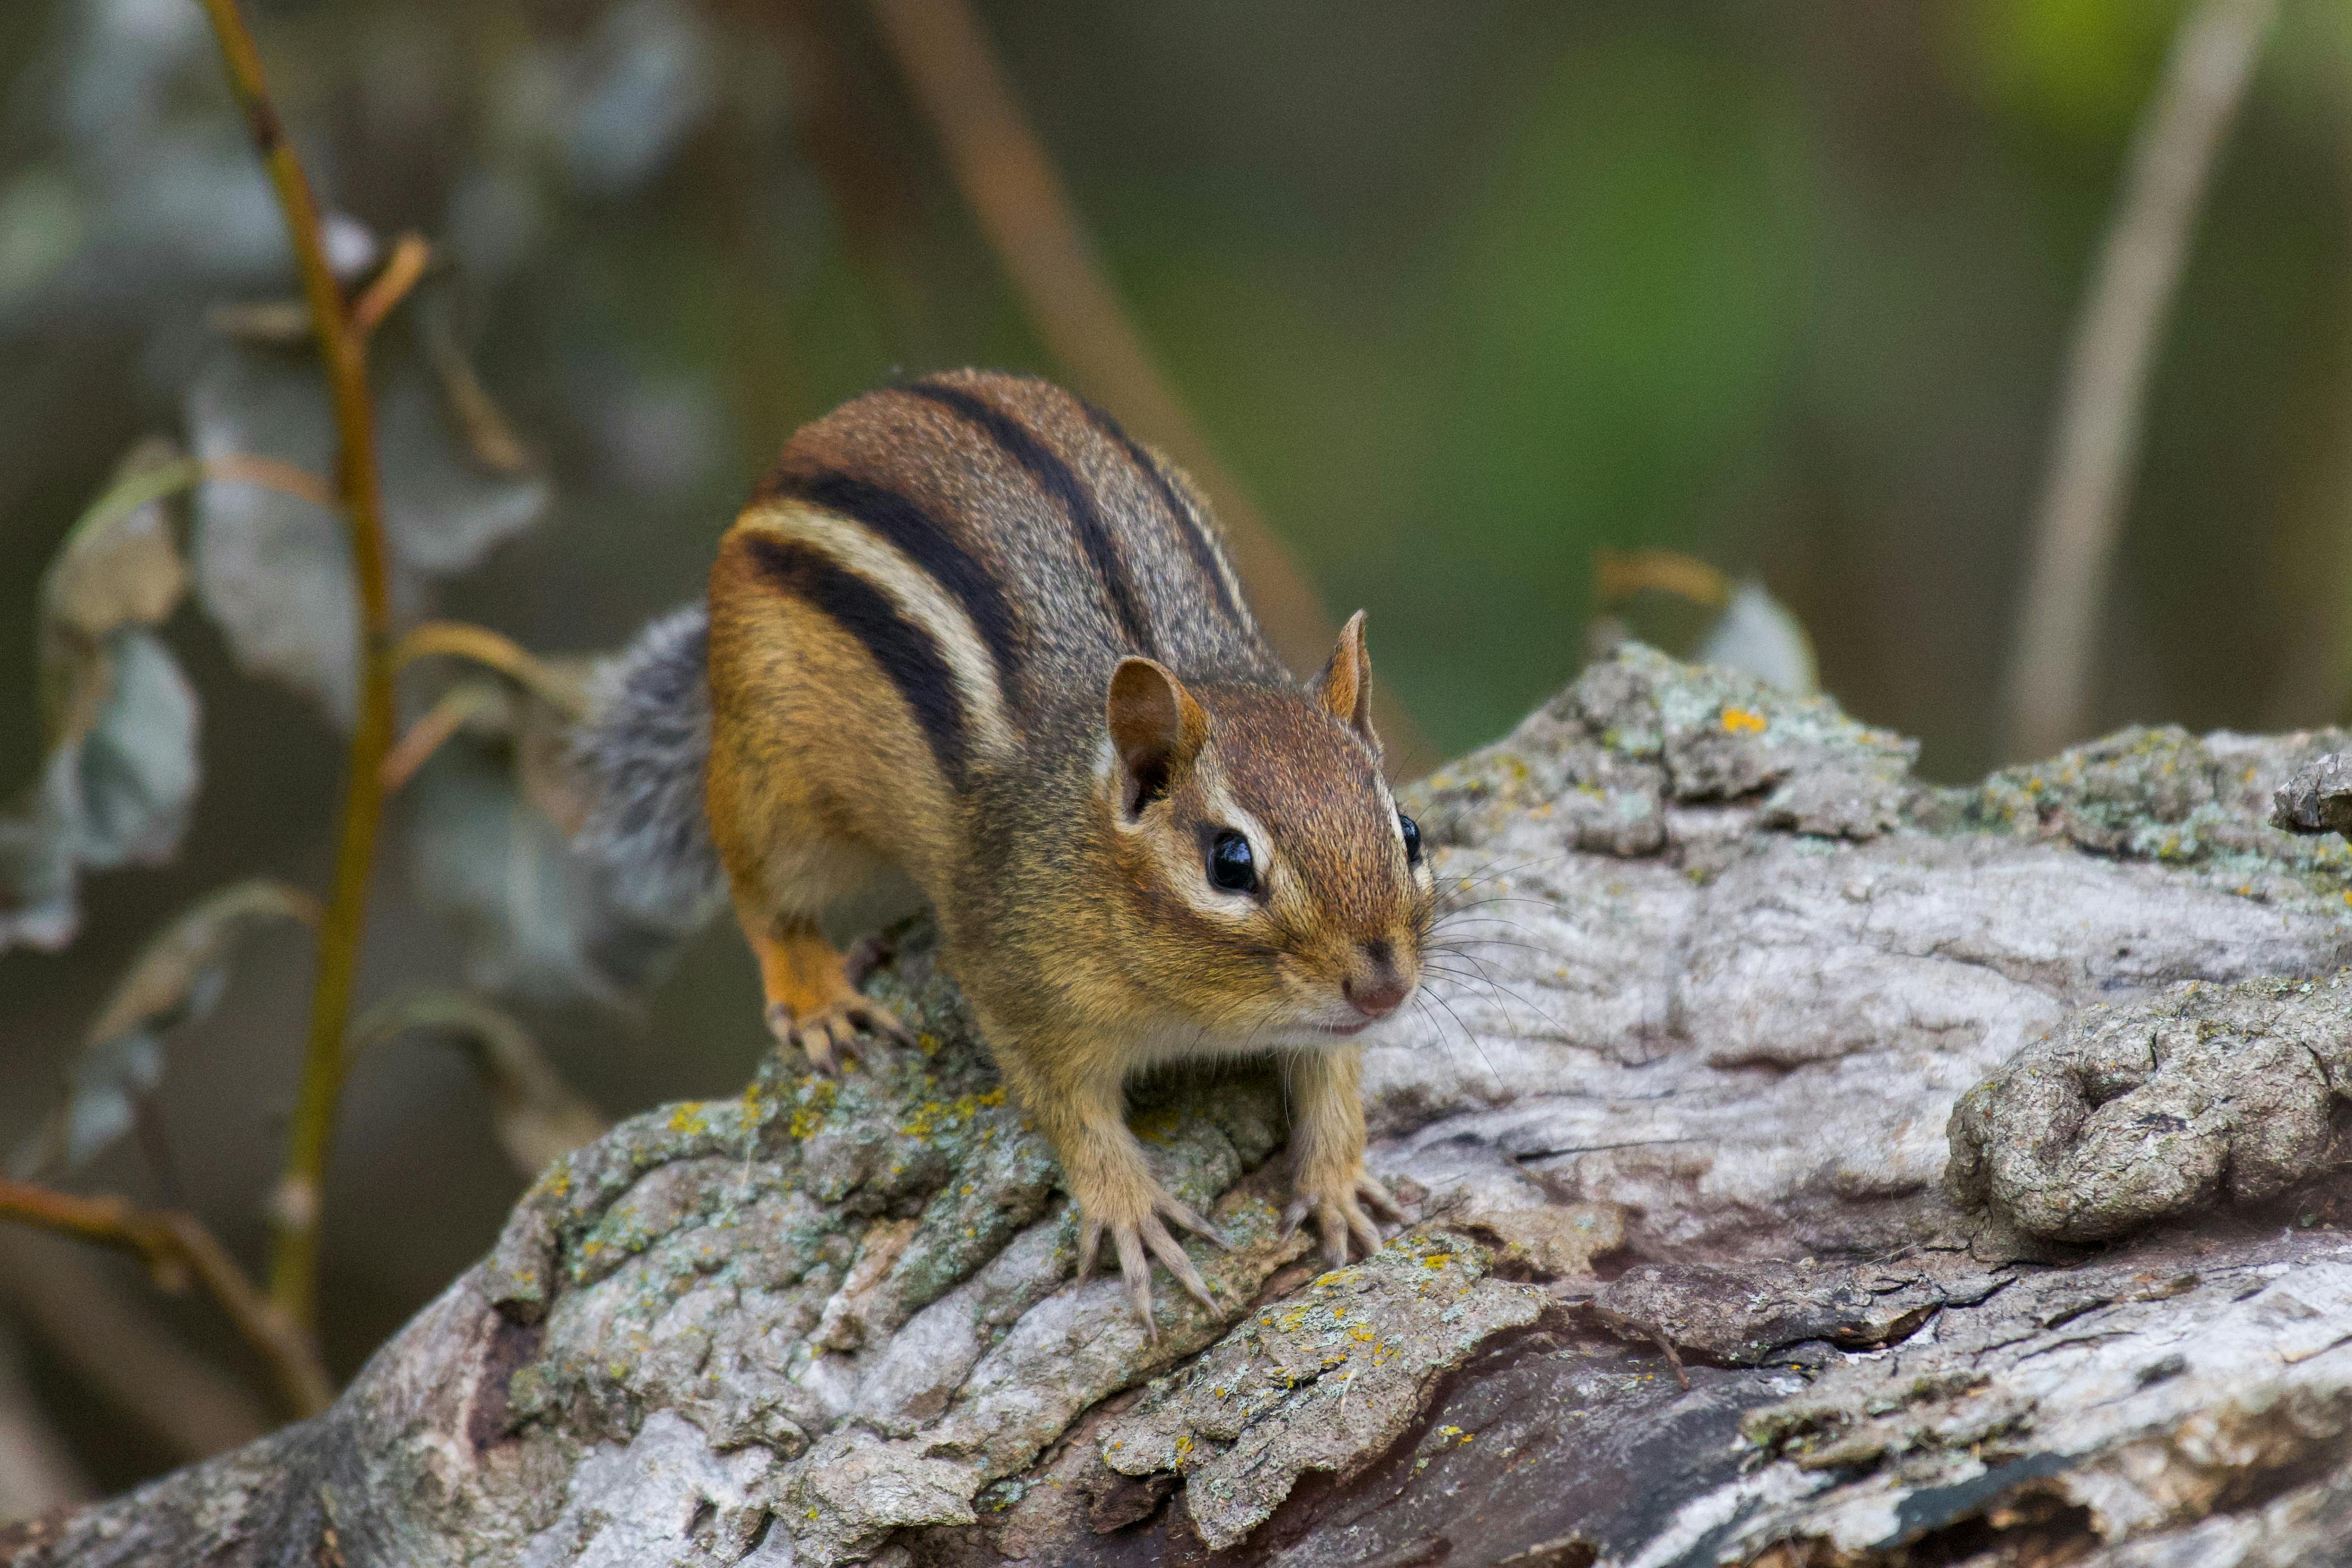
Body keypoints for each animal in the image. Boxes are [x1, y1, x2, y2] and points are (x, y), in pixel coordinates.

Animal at [576, 369, 1433, 1330]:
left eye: (1407, 832)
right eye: (1229, 863)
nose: (1384, 986)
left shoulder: (1320, 1024)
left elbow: (1332, 1078)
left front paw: (1340, 1183)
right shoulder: (1013, 977)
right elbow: (1067, 1110)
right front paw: (1129, 1209)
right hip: (776, 785)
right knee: (764, 893)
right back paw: (819, 998)